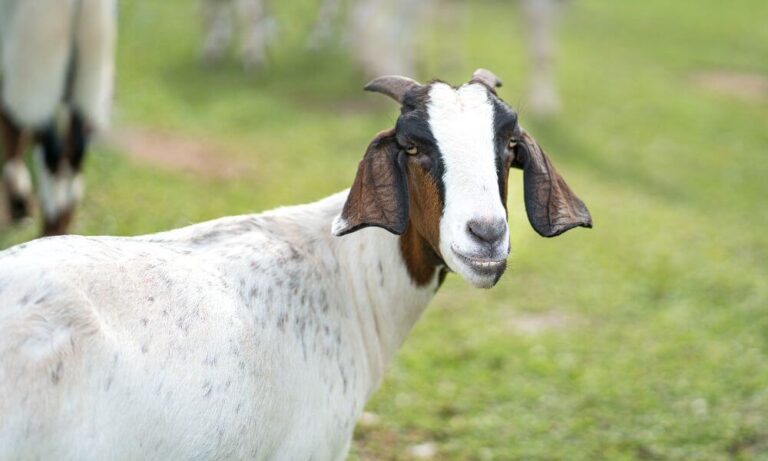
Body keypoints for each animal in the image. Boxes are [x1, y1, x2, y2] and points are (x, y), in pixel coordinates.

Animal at [0, 0, 116, 235]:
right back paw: (59, 231)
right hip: (89, 75)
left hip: (39, 63)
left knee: (50, 154)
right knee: (75, 156)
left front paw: (20, 206)